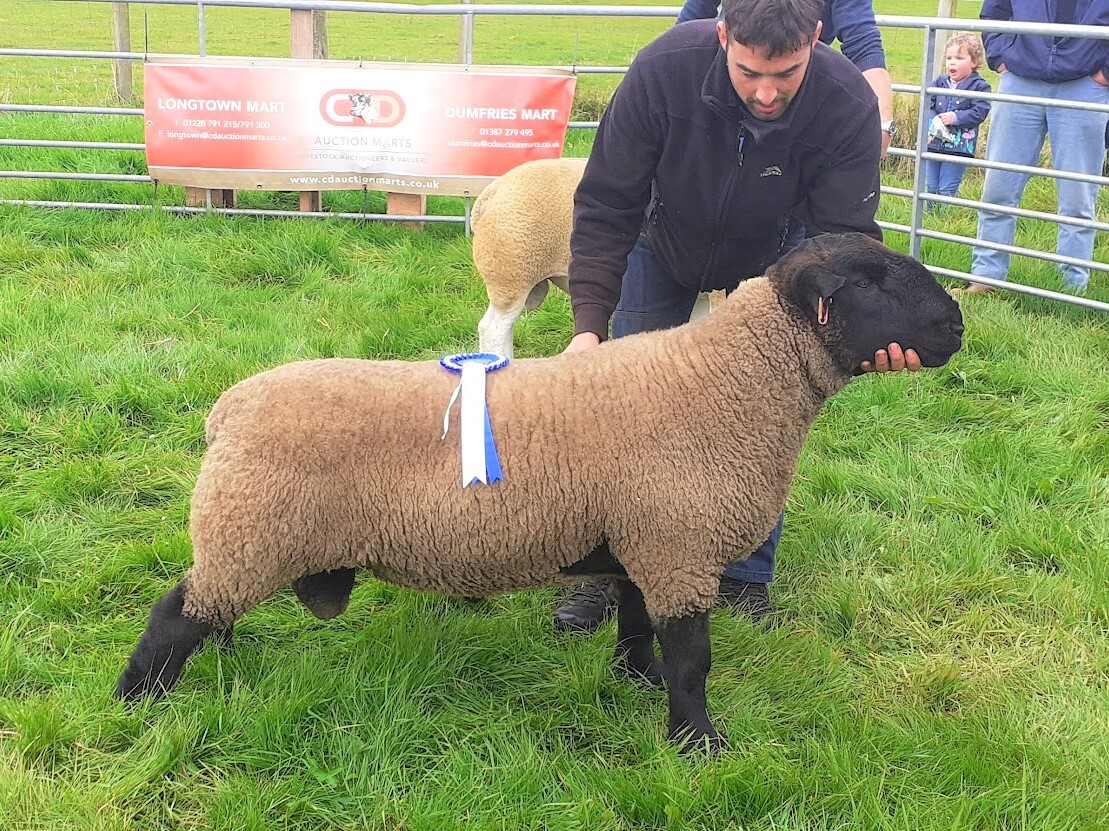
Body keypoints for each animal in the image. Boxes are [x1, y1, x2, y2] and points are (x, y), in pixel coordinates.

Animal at [116, 233, 964, 752]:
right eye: (875, 281)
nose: (956, 327)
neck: (726, 379)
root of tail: (227, 410)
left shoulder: (648, 541)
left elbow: (637, 624)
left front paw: (636, 681)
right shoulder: (680, 544)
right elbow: (694, 660)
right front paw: (697, 743)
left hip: (249, 535)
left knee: (206, 607)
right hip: (253, 528)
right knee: (174, 613)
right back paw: (138, 702)